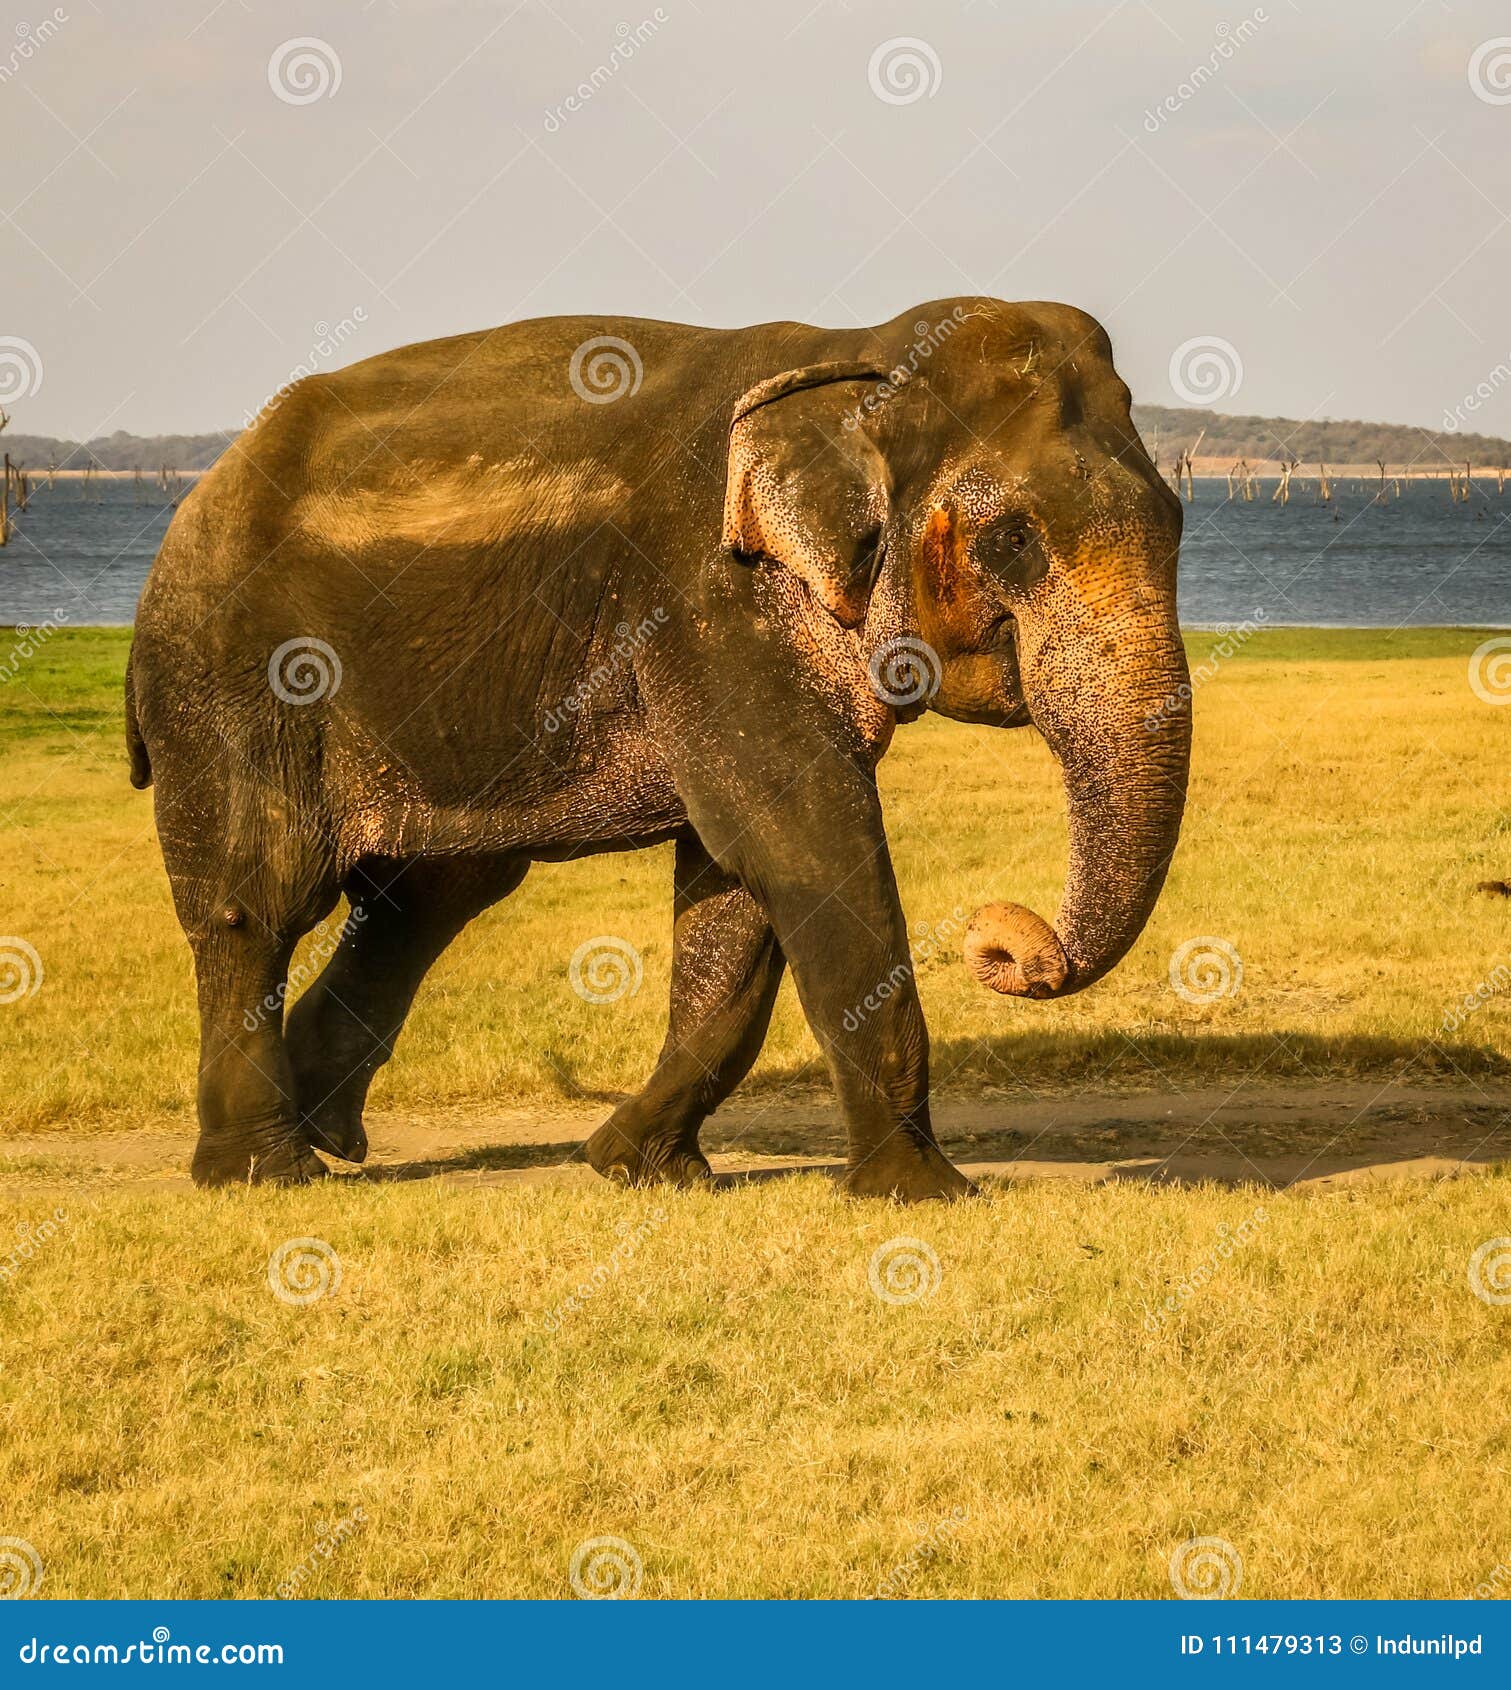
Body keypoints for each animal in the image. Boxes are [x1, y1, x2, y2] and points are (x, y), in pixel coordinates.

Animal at [125, 295, 1190, 1202]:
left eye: (1182, 521)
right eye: (1013, 540)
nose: (1001, 939)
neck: (858, 350)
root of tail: (196, 498)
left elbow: (737, 880)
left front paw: (640, 1168)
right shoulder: (704, 599)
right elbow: (799, 828)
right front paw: (923, 1195)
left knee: (427, 901)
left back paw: (326, 1138)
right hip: (232, 684)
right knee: (260, 899)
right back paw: (263, 1174)